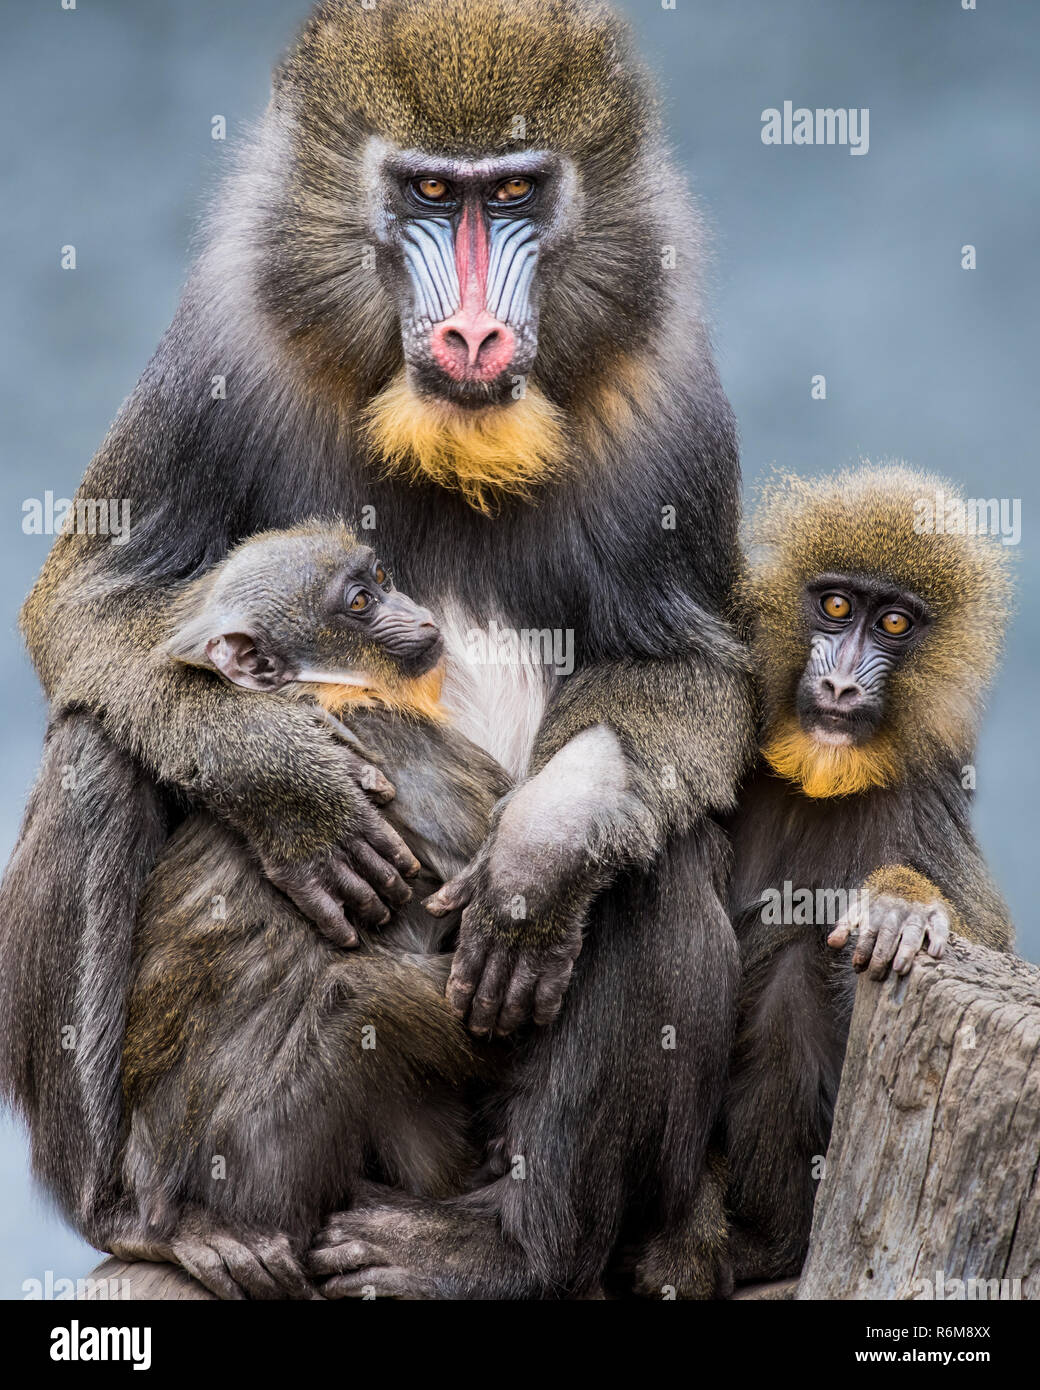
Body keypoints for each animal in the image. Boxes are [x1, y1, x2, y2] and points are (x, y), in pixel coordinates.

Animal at [110, 521, 513, 1299]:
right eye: (359, 603)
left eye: (381, 578)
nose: (415, 611)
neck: (327, 683)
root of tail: (162, 1190)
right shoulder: (393, 736)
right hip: (273, 1162)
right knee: (361, 1001)